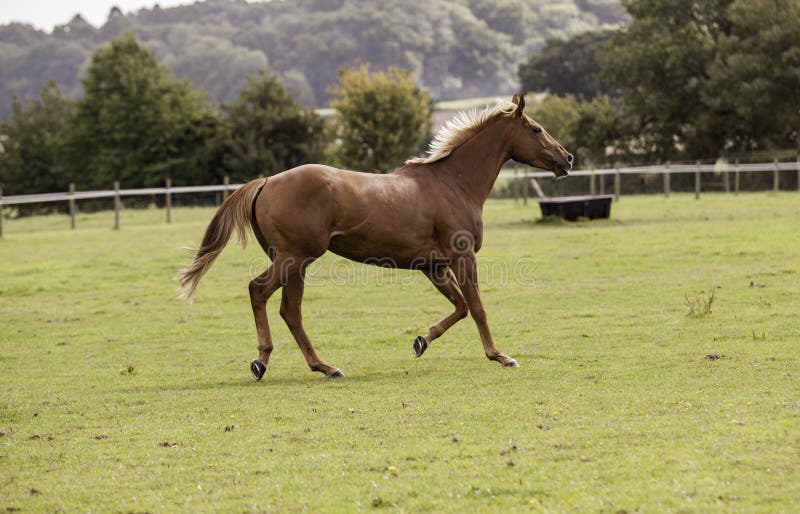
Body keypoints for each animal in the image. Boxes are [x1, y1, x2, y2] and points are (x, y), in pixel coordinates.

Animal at [178, 94, 573, 379]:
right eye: (536, 129)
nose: (567, 159)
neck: (453, 183)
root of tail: (266, 182)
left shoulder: (433, 266)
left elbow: (459, 307)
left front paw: (420, 342)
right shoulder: (462, 256)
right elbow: (476, 307)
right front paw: (501, 356)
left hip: (296, 263)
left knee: (291, 311)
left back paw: (325, 367)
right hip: (295, 257)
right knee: (259, 291)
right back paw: (263, 362)